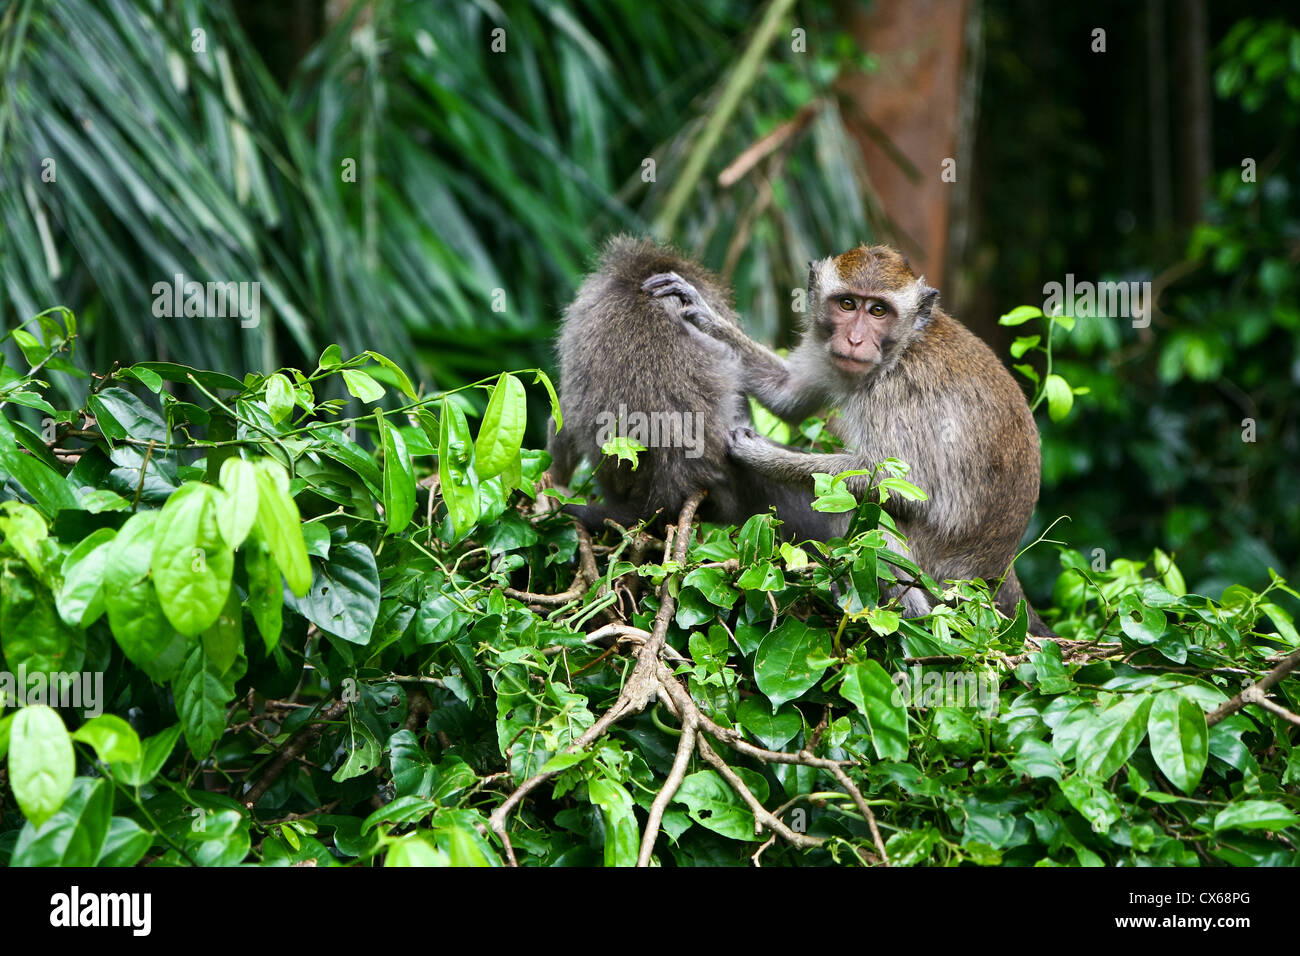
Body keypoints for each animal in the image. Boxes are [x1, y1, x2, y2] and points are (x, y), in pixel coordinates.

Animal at [643, 244, 1056, 637]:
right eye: (847, 304)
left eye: (878, 311)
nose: (855, 340)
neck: (899, 352)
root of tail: (998, 570)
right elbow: (788, 395)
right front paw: (701, 313)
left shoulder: (897, 394)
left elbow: (901, 483)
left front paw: (759, 454)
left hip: (939, 575)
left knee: (863, 508)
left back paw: (909, 619)